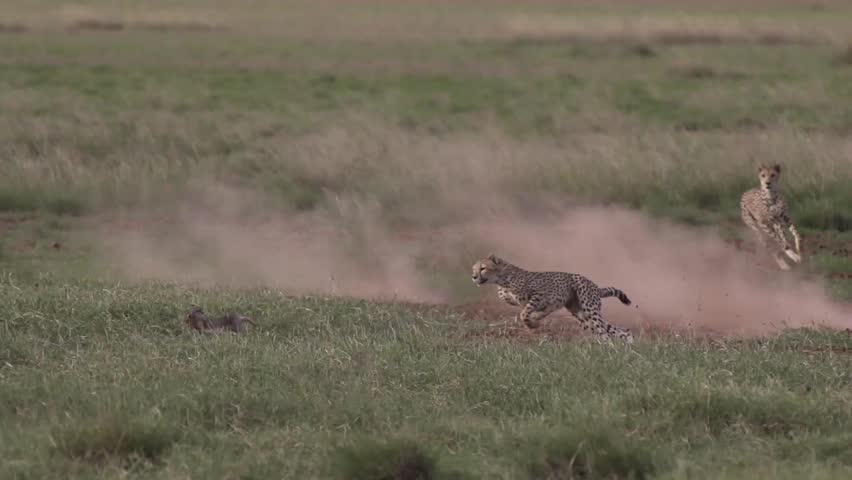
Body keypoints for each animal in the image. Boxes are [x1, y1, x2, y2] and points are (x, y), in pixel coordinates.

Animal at [471, 254, 635, 344]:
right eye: (474, 269)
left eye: (483, 268)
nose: (473, 277)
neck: (501, 278)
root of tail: (594, 284)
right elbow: (530, 312)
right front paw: (535, 321)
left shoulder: (541, 295)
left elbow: (524, 313)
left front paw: (533, 324)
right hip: (582, 315)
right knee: (617, 331)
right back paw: (625, 349)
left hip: (588, 308)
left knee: (605, 333)